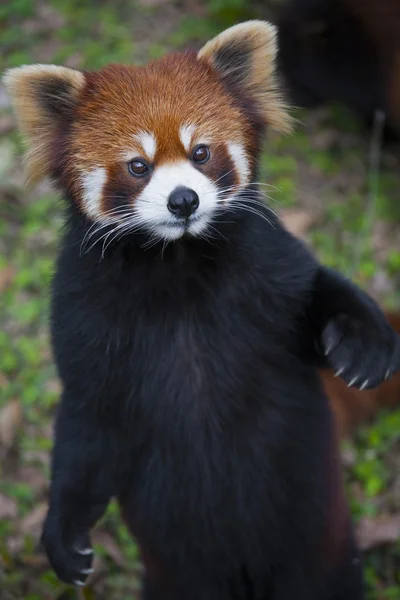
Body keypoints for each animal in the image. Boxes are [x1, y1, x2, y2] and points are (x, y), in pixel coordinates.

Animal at [3, 19, 400, 600]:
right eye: (138, 166)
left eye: (201, 153)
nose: (184, 200)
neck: (177, 262)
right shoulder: (83, 307)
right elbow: (88, 421)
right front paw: (64, 531)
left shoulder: (269, 263)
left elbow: (315, 296)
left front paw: (363, 339)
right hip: (177, 565)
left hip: (315, 529)